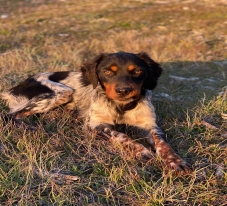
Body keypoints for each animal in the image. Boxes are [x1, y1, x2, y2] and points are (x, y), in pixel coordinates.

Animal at [0, 52, 192, 174]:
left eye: (137, 71)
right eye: (107, 71)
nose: (124, 90)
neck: (121, 106)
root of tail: (17, 86)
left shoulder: (149, 124)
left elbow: (163, 144)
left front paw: (175, 161)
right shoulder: (95, 124)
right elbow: (121, 135)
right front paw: (141, 151)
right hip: (62, 93)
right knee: (9, 116)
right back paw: (30, 129)